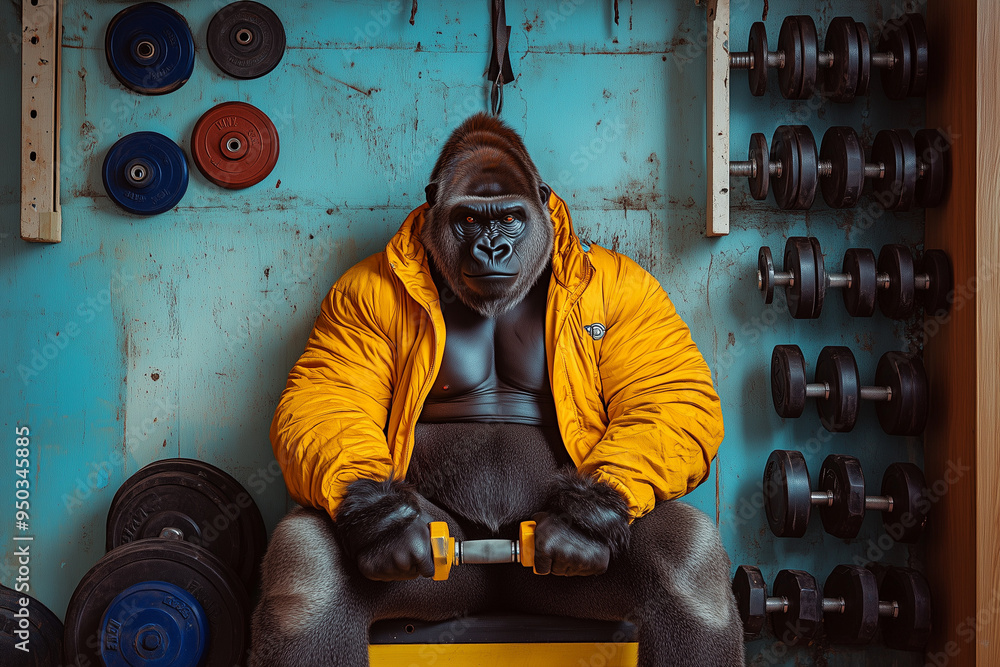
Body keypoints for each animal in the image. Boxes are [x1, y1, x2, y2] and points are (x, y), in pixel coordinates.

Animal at [251, 113, 744, 667]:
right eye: (469, 220)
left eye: (509, 217)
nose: (493, 249)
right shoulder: (351, 294)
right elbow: (328, 396)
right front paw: (384, 525)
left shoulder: (637, 287)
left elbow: (670, 396)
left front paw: (583, 525)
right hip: (450, 565)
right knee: (307, 566)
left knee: (689, 565)